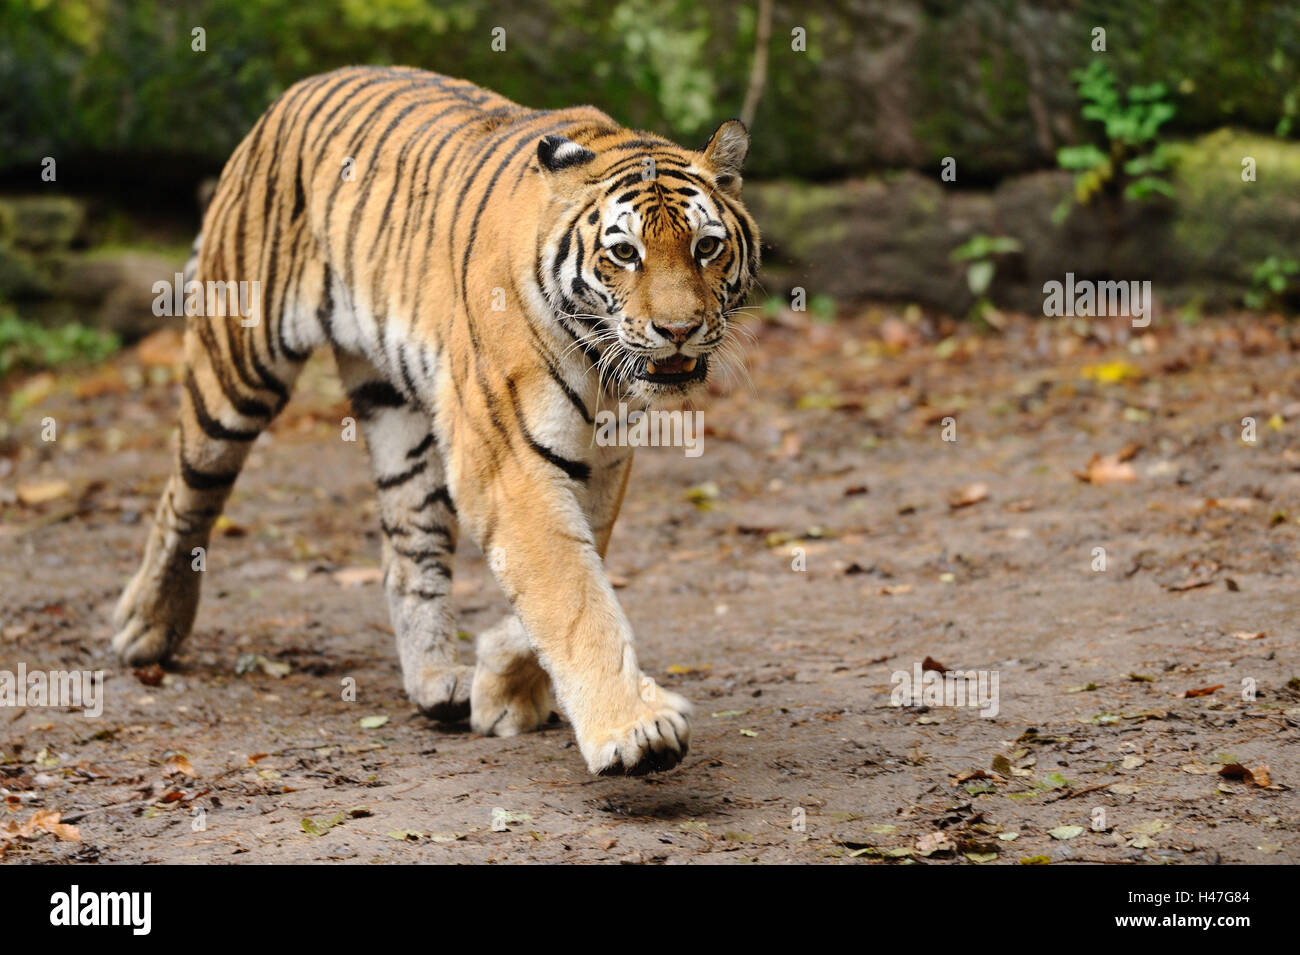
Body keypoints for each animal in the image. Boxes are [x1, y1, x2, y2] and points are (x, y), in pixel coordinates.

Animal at [111, 66, 759, 776]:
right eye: (624, 253)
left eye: (707, 247)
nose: (679, 330)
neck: (602, 367)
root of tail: (295, 89)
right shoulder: (506, 461)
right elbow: (571, 593)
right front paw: (634, 730)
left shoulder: (600, 460)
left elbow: (571, 574)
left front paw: (502, 682)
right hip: (237, 366)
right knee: (186, 494)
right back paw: (146, 628)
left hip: (397, 415)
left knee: (407, 545)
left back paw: (436, 681)